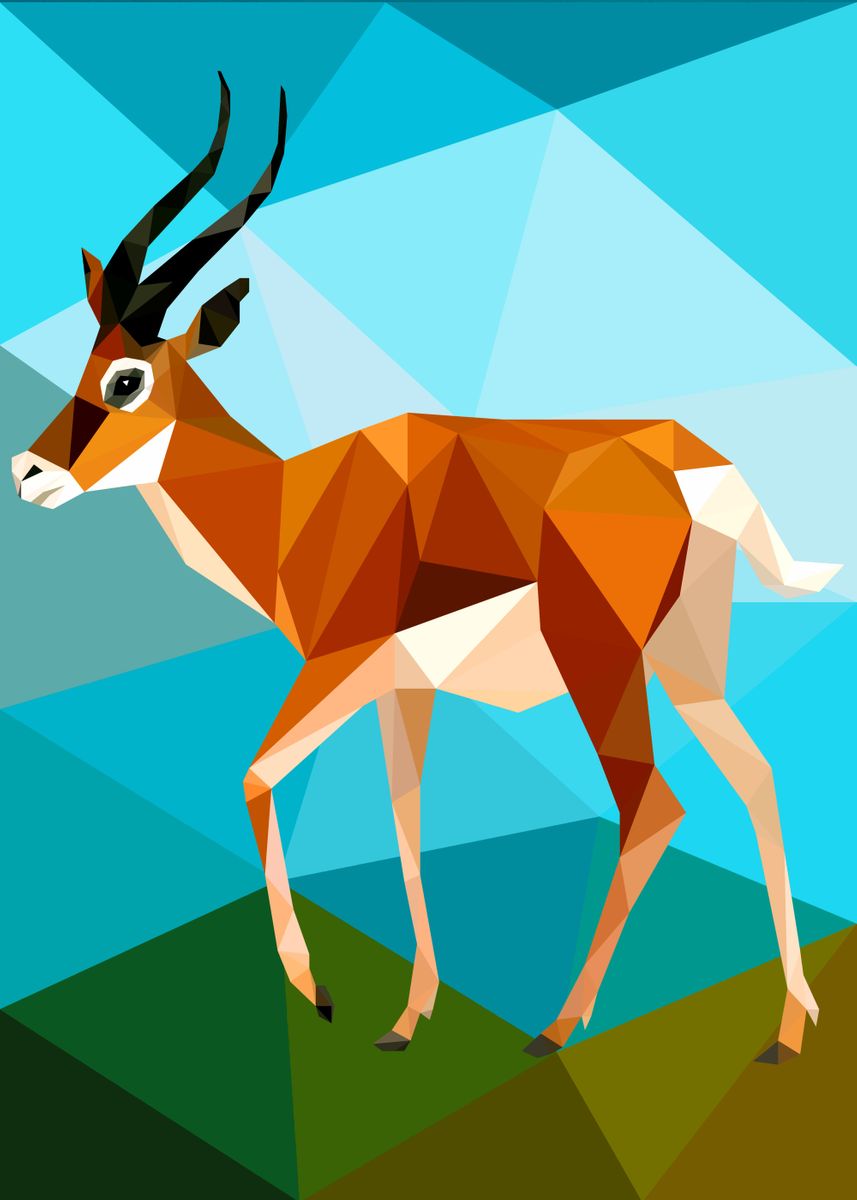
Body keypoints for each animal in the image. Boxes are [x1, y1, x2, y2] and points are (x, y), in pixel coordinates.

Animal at [12, 77, 841, 1063]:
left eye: (128, 379)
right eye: (84, 361)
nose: (27, 473)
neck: (294, 509)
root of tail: (692, 463)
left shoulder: (335, 664)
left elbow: (252, 777)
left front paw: (319, 993)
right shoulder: (400, 688)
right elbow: (406, 819)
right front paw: (407, 1019)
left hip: (601, 663)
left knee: (654, 808)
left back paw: (556, 1027)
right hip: (684, 658)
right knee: (758, 777)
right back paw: (788, 1029)